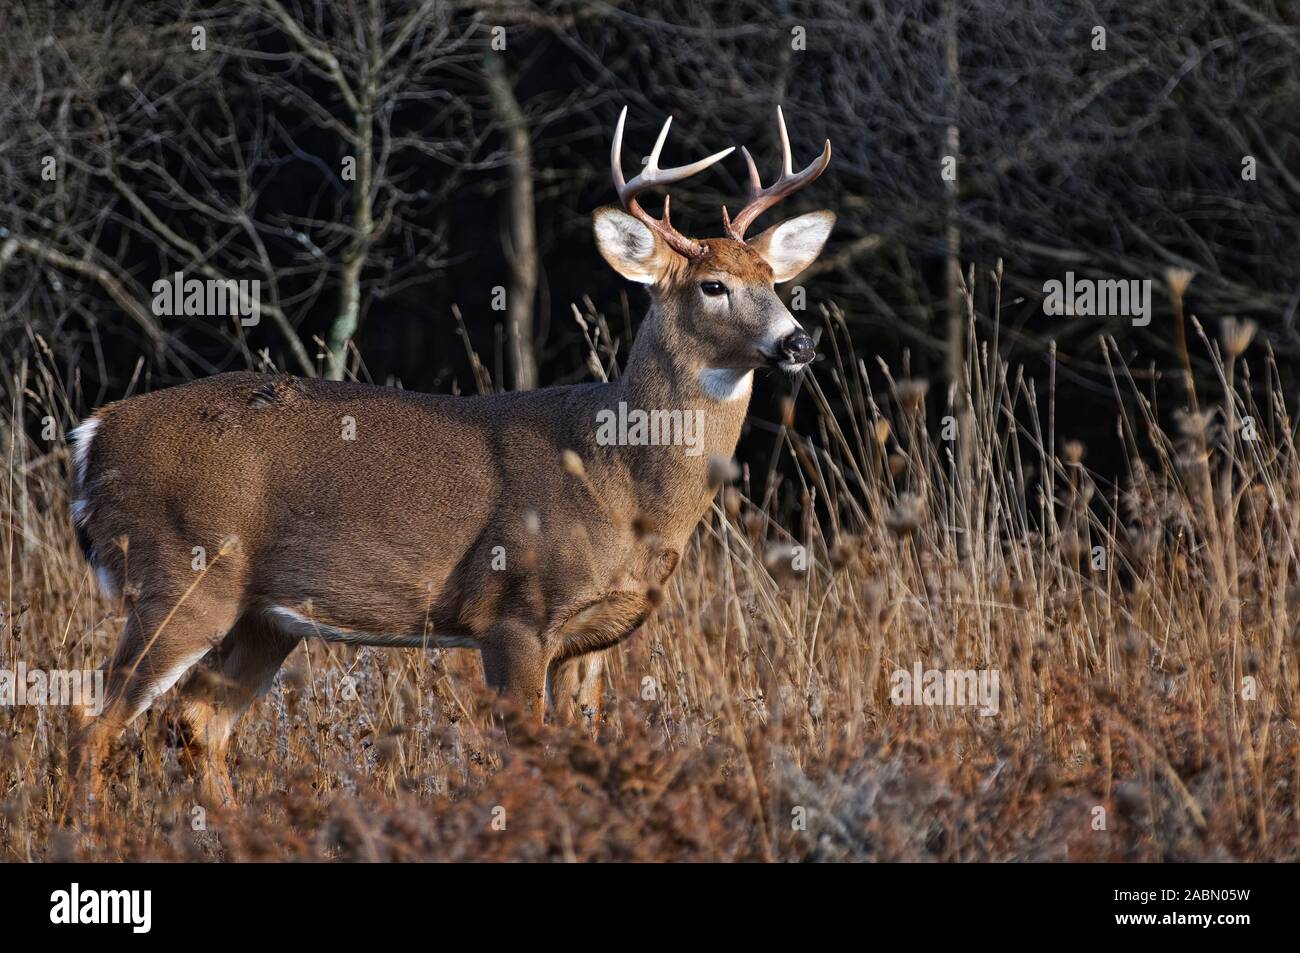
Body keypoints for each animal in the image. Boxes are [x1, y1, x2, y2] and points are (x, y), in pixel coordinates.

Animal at [64, 106, 833, 808]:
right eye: (713, 285)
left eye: (771, 276)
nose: (798, 341)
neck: (619, 481)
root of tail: (93, 434)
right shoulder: (513, 612)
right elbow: (526, 758)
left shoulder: (592, 639)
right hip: (176, 576)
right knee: (92, 721)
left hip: (262, 616)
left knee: (196, 720)